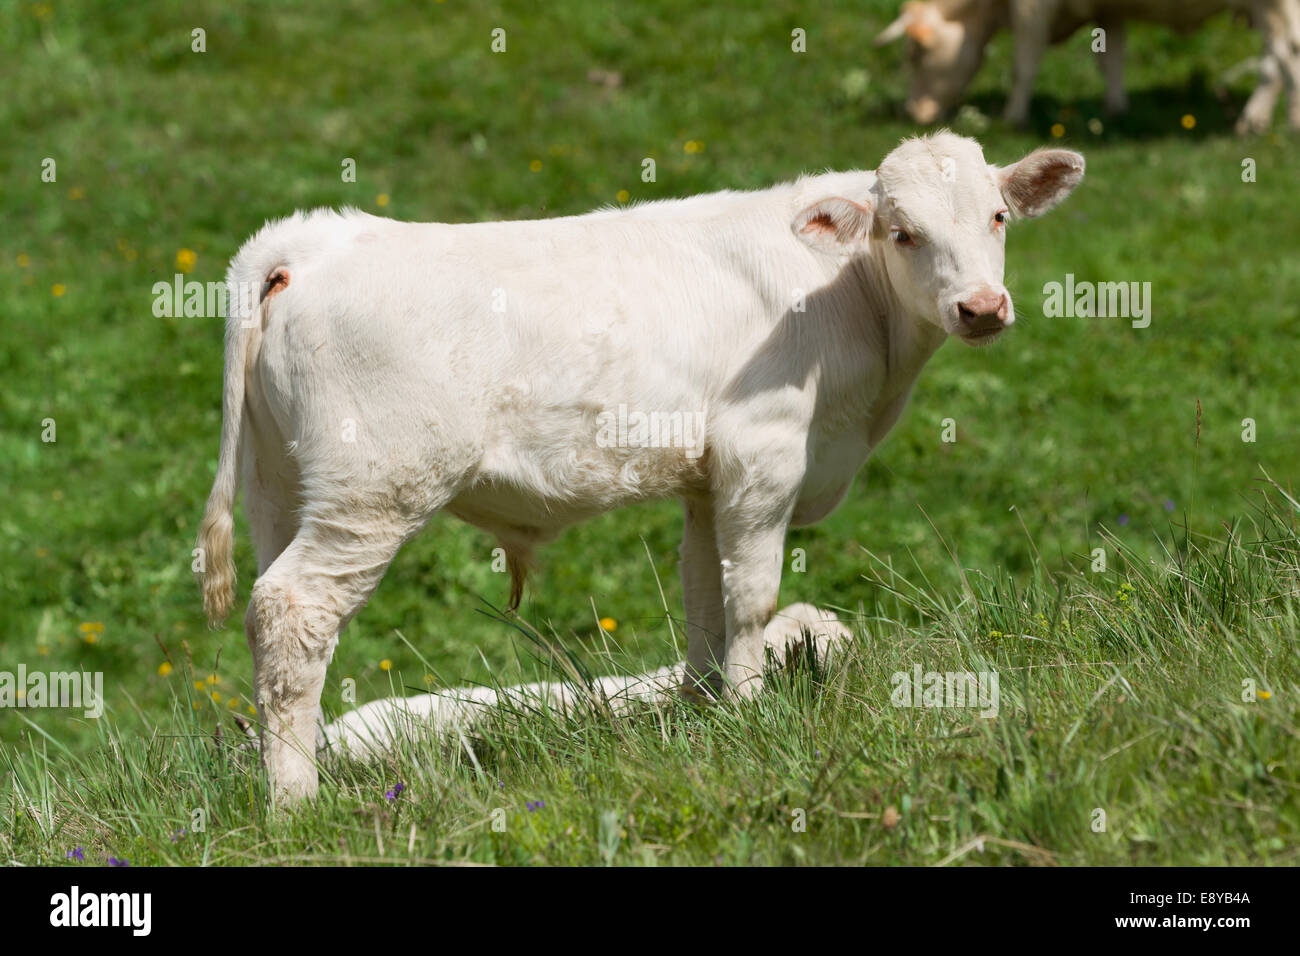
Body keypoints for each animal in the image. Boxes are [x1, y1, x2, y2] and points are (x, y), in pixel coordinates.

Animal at [196, 132, 1084, 802]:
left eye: (999, 215)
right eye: (903, 232)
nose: (981, 307)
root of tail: (309, 238)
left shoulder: (707, 477)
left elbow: (703, 594)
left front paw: (705, 711)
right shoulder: (764, 451)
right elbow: (752, 596)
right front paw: (754, 712)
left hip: (281, 485)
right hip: (376, 488)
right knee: (293, 611)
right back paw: (297, 803)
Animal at [876, 0, 1300, 133]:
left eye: (914, 54)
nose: (915, 112)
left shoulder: (1031, 8)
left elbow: (1024, 63)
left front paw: (1012, 117)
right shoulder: (1109, 12)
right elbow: (1111, 60)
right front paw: (1116, 110)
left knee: (1287, 52)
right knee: (1275, 61)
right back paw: (1256, 121)